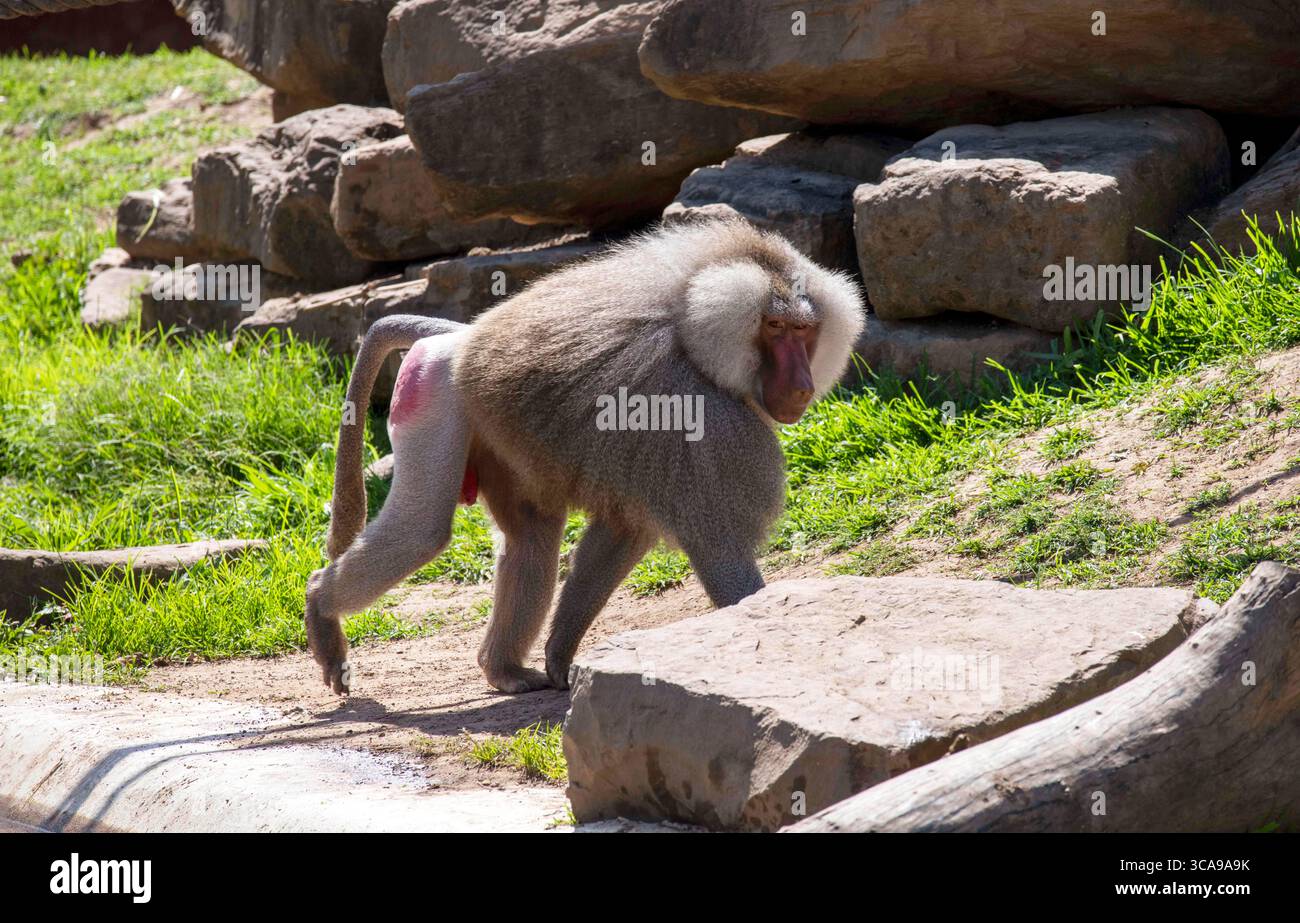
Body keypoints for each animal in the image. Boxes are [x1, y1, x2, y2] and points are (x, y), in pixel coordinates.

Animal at [305, 217, 865, 696]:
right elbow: (721, 554)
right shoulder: (703, 422)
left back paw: (504, 670)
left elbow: (624, 528)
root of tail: (459, 338)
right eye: (775, 327)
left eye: (804, 331)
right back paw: (320, 609)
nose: (801, 387)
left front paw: (560, 657)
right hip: (437, 397)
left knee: (530, 538)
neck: (692, 329)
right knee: (421, 531)